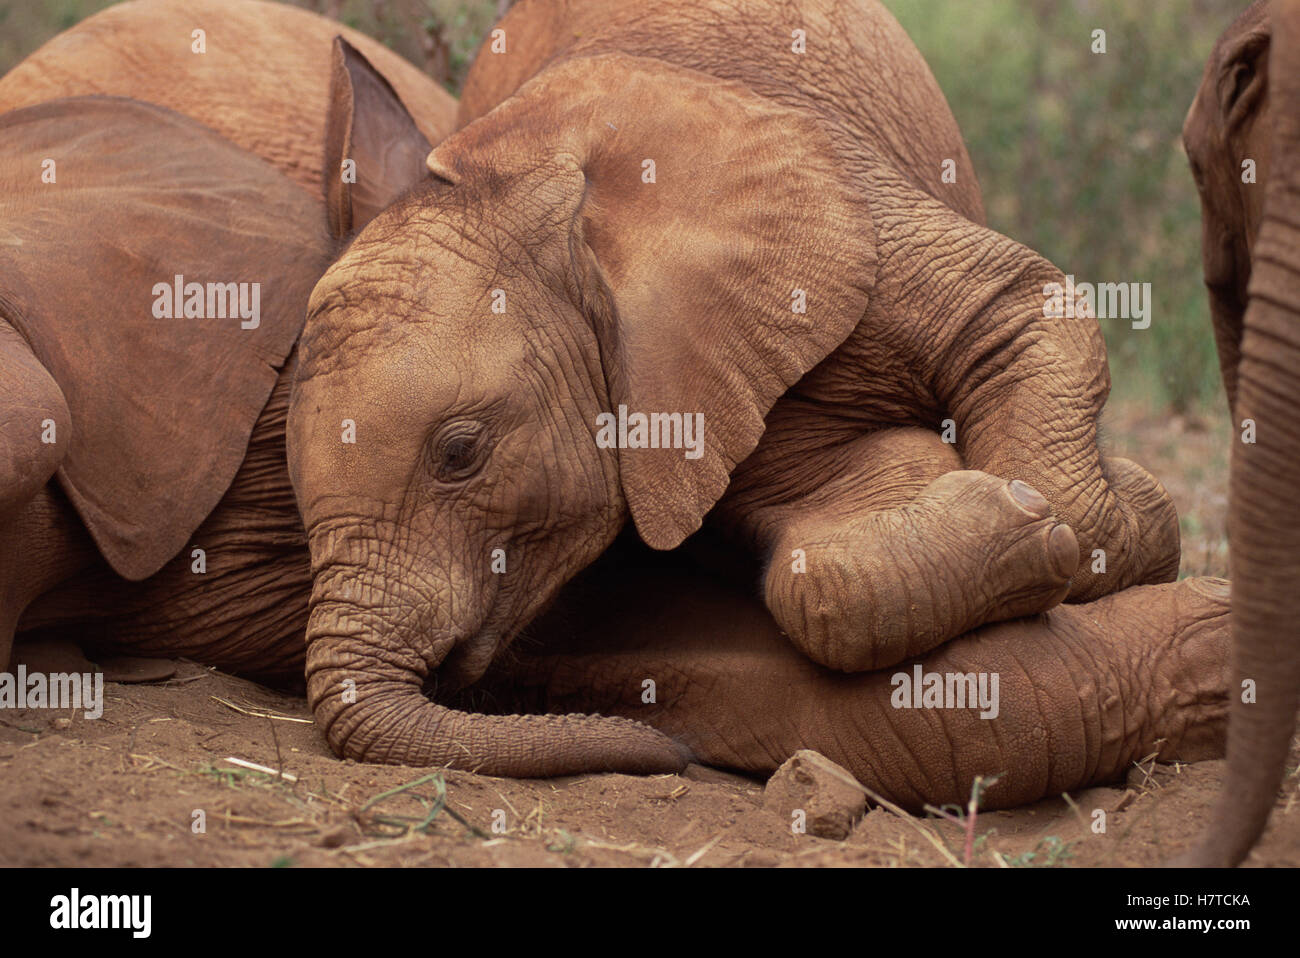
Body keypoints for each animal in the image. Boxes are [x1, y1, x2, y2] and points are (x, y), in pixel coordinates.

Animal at [287, 0, 1186, 775]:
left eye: (460, 453)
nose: (673, 752)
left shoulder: (844, 207)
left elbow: (1020, 309)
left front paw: (1082, 515)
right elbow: (823, 572)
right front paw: (1011, 518)